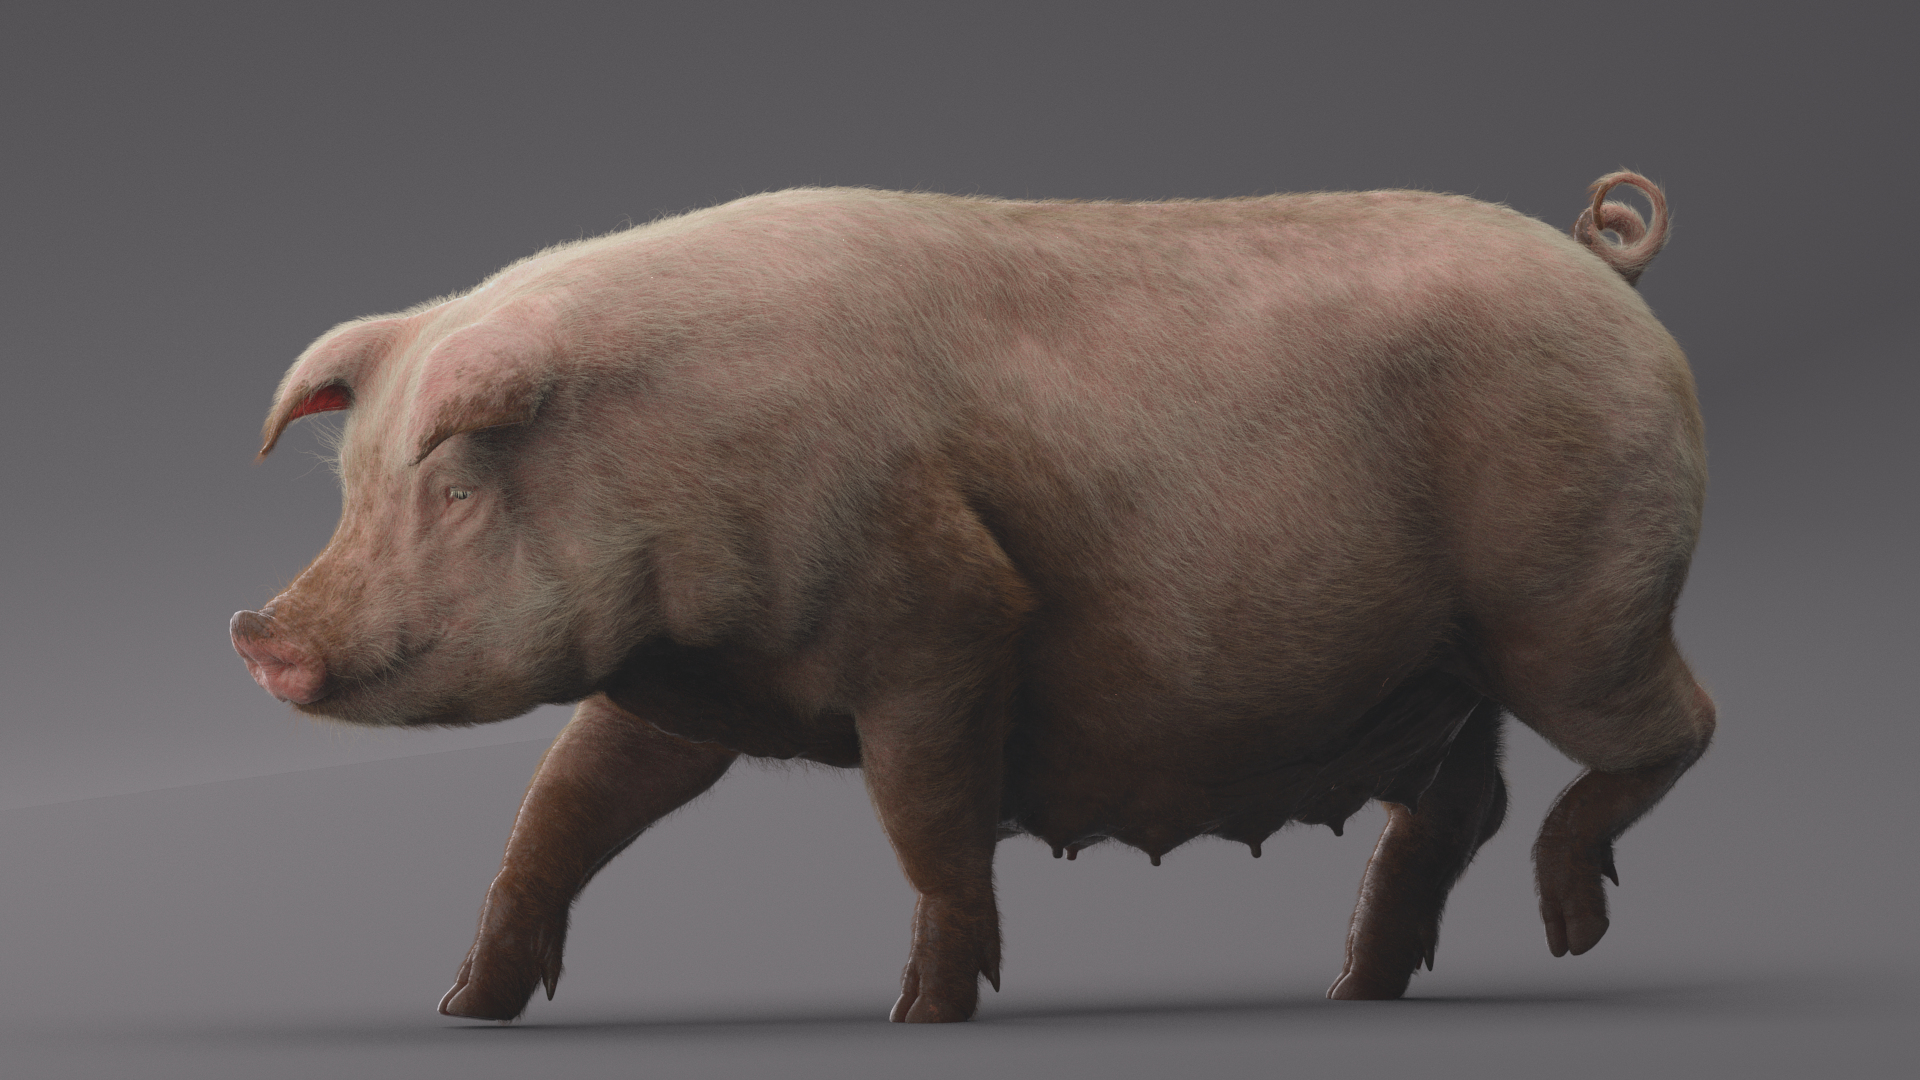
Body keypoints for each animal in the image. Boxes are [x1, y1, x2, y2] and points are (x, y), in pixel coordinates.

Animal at [233, 172, 1714, 1022]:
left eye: (454, 483)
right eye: (350, 485)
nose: (260, 639)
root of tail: (1607, 264)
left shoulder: (944, 617)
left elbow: (933, 827)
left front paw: (925, 1018)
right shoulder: (678, 686)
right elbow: (562, 811)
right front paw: (462, 1011)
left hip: (1579, 604)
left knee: (1677, 731)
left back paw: (1566, 935)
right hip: (1447, 667)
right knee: (1464, 802)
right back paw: (1361, 989)